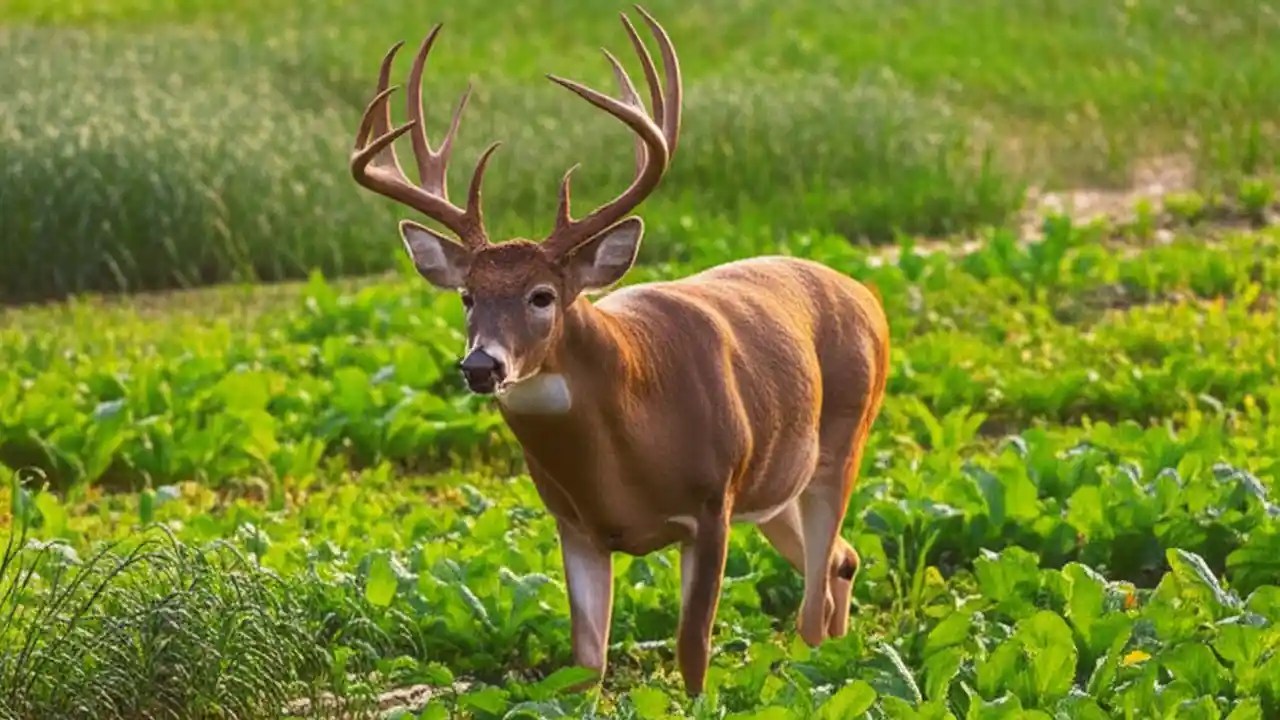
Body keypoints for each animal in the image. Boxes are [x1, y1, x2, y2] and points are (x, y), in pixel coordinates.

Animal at [347, 5, 890, 697]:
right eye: (467, 295)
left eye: (543, 295)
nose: (480, 365)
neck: (629, 441)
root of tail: (866, 293)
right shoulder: (574, 523)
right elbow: (585, 664)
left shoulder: (713, 501)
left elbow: (692, 652)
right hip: (777, 486)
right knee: (844, 558)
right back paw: (842, 665)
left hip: (842, 441)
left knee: (815, 593)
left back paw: (825, 675)